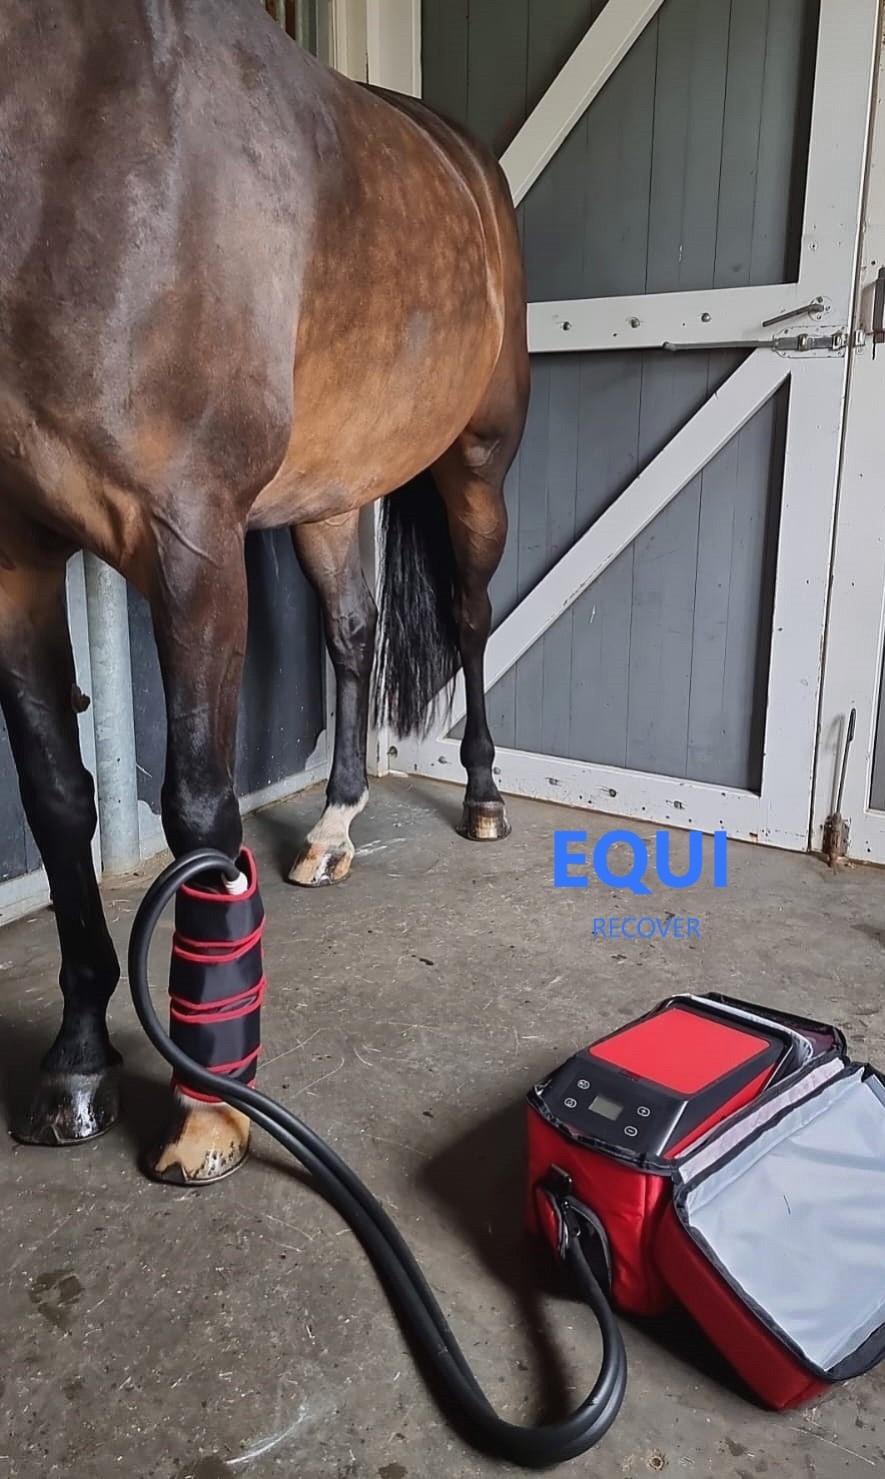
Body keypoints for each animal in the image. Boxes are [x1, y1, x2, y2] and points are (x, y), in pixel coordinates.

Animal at [0, 0, 529, 1181]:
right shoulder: (10, 556)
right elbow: (58, 803)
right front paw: (77, 1059)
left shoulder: (190, 540)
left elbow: (200, 806)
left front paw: (210, 1106)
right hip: (331, 496)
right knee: (353, 634)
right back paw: (332, 825)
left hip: (477, 463)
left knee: (470, 619)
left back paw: (481, 797)